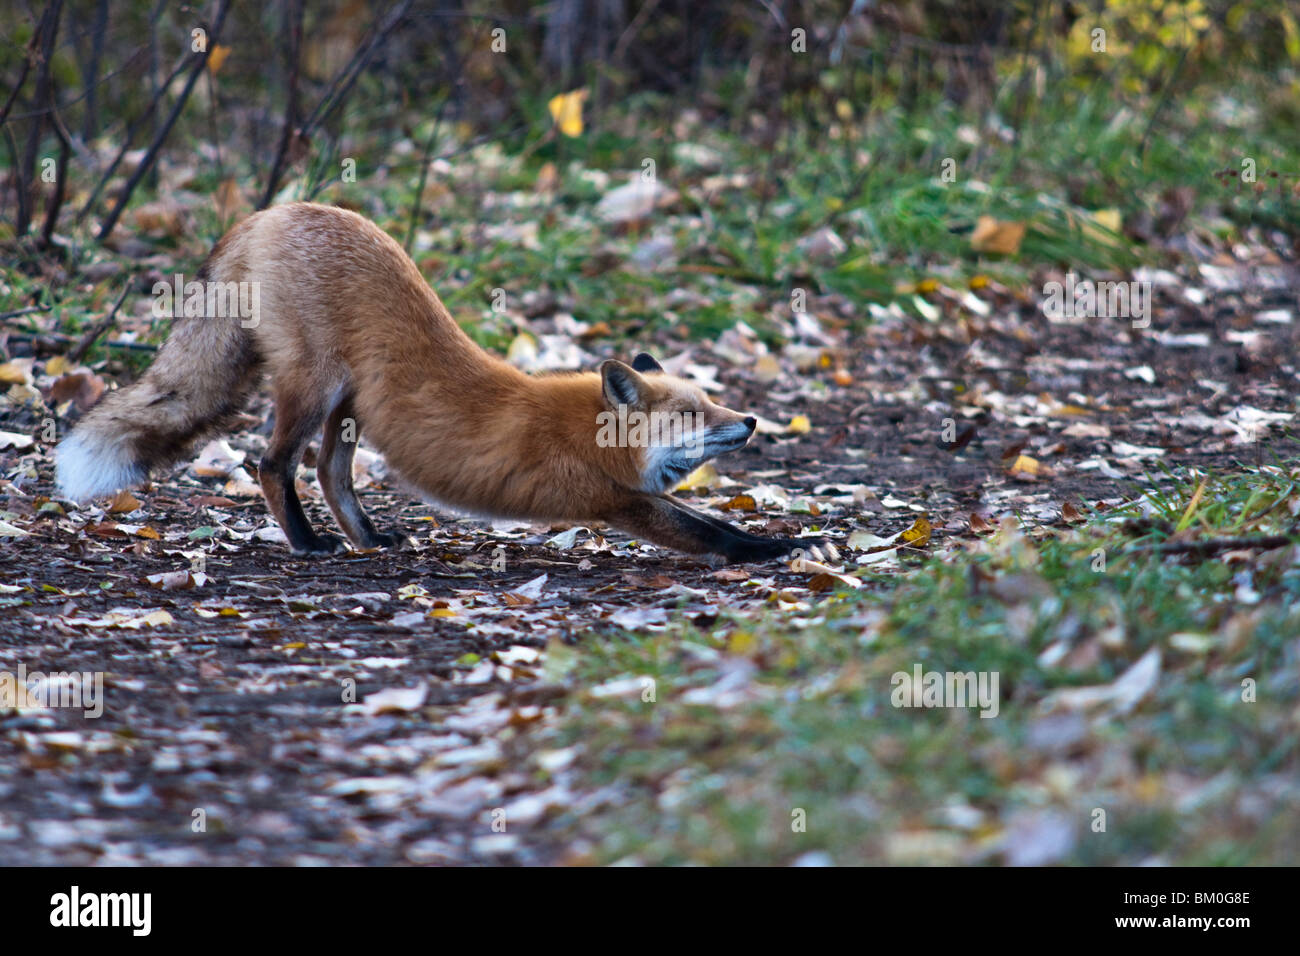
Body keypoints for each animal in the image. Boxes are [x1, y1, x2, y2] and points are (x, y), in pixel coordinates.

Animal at [56, 202, 811, 562]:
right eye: (692, 415)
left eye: (713, 400)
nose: (750, 422)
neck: (590, 436)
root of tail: (273, 211)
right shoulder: (611, 498)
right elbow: (711, 533)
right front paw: (775, 550)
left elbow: (713, 518)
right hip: (315, 387)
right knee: (273, 465)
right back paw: (307, 543)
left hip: (350, 403)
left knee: (329, 470)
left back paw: (368, 539)